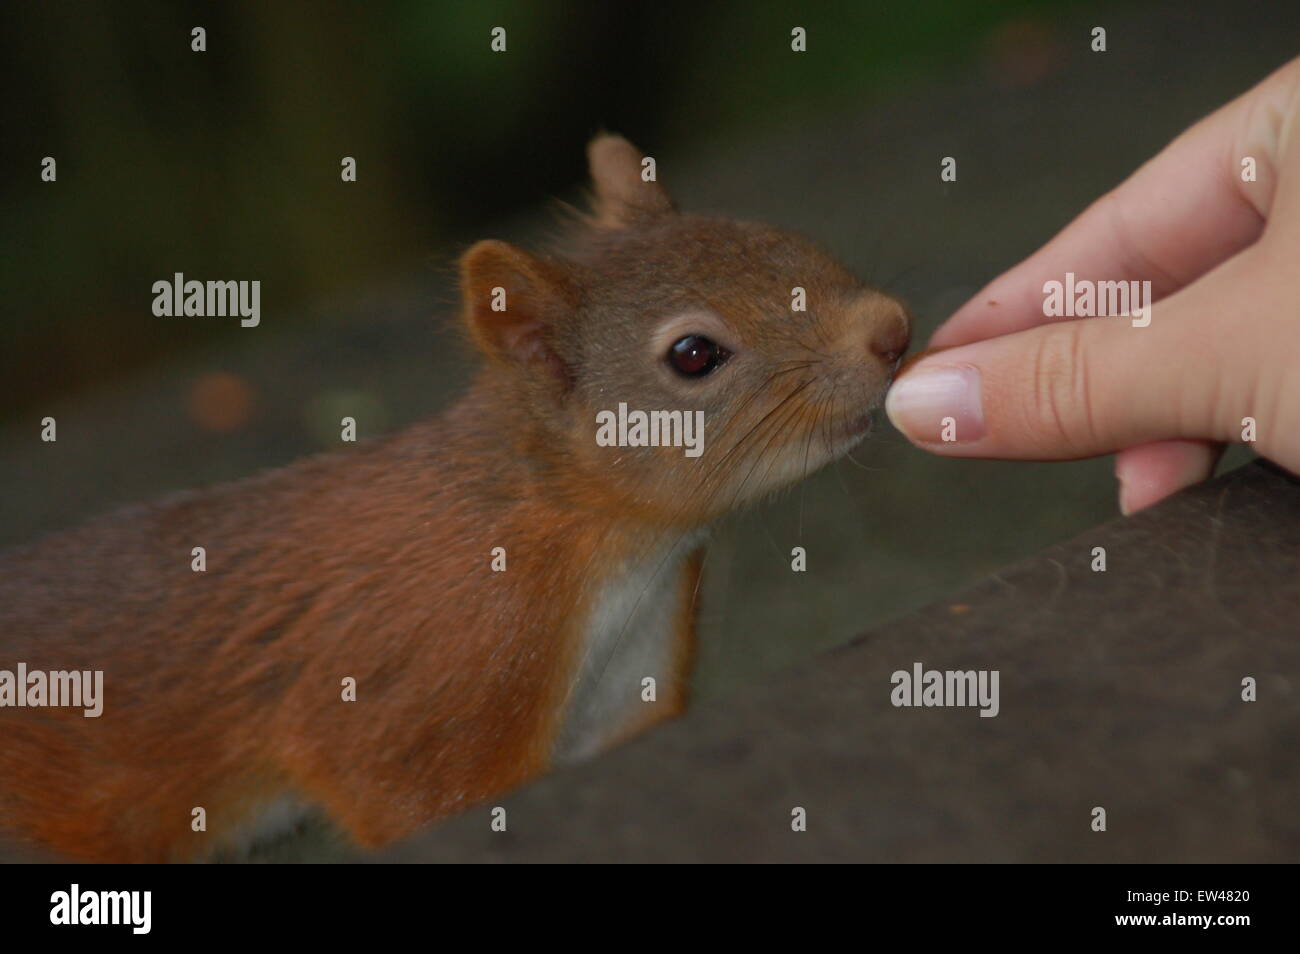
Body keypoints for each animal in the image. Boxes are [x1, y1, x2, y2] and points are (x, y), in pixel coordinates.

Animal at [0, 135, 909, 862]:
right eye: (693, 355)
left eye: (782, 238)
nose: (891, 330)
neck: (598, 542)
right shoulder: (422, 688)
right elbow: (409, 795)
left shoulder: (628, 689)